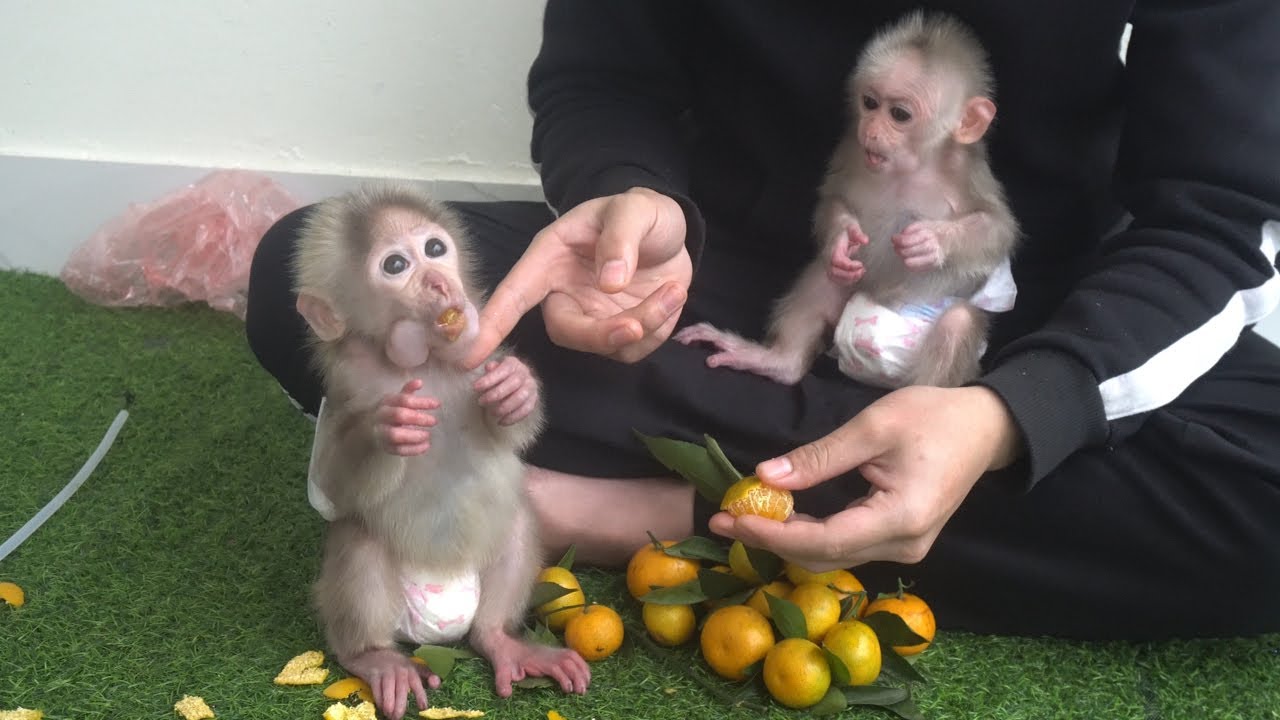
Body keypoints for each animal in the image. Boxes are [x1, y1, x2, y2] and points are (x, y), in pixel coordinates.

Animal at [291, 184, 591, 719]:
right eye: (395, 265)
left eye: (435, 249)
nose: (437, 282)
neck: (423, 362)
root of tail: (441, 627)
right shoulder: (345, 390)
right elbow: (332, 487)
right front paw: (386, 429)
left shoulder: (479, 355)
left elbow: (512, 433)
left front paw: (517, 390)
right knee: (358, 540)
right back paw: (374, 659)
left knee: (515, 528)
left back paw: (500, 640)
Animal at [675, 10, 1019, 389]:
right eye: (870, 103)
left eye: (899, 114)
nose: (871, 130)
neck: (911, 167)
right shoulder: (854, 150)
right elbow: (835, 199)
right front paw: (843, 234)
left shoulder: (964, 171)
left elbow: (997, 229)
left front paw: (930, 241)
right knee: (829, 276)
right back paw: (778, 361)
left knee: (957, 324)